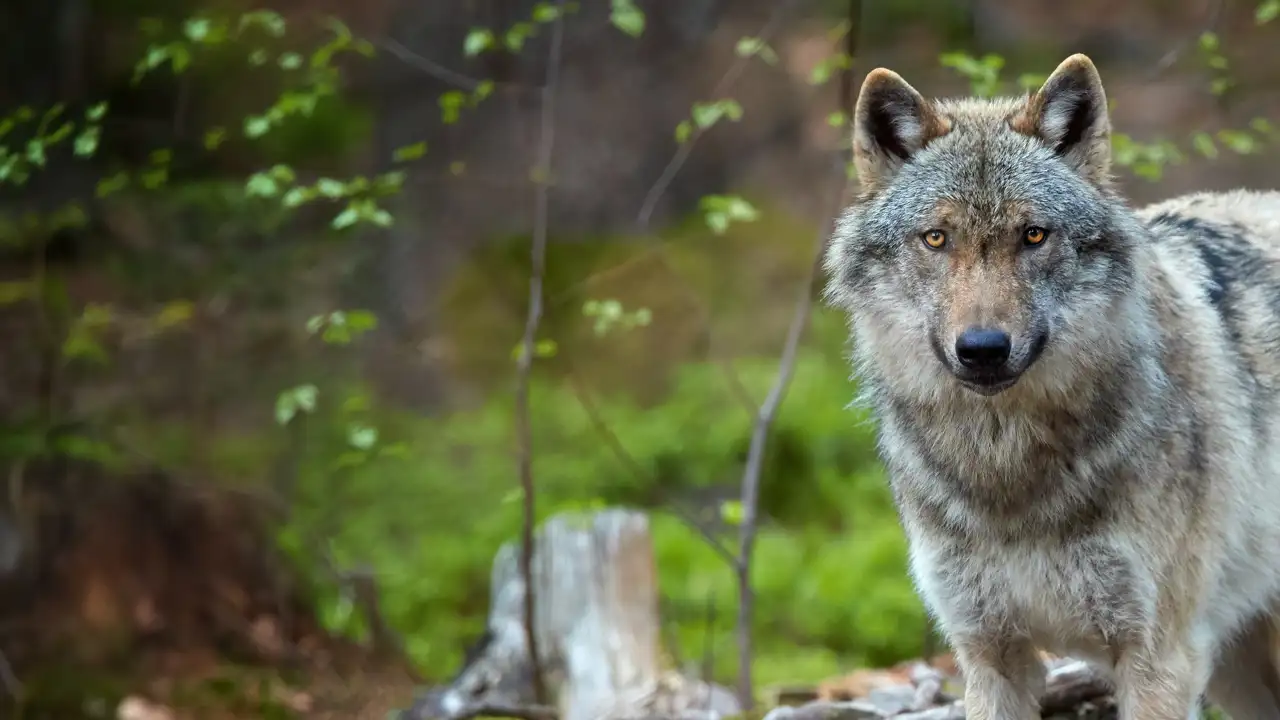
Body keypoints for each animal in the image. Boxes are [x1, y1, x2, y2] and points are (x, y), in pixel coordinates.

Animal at [822, 52, 1280, 720]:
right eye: (936, 238)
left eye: (1033, 235)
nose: (983, 348)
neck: (1008, 473)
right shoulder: (989, 657)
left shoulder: (1160, 659)